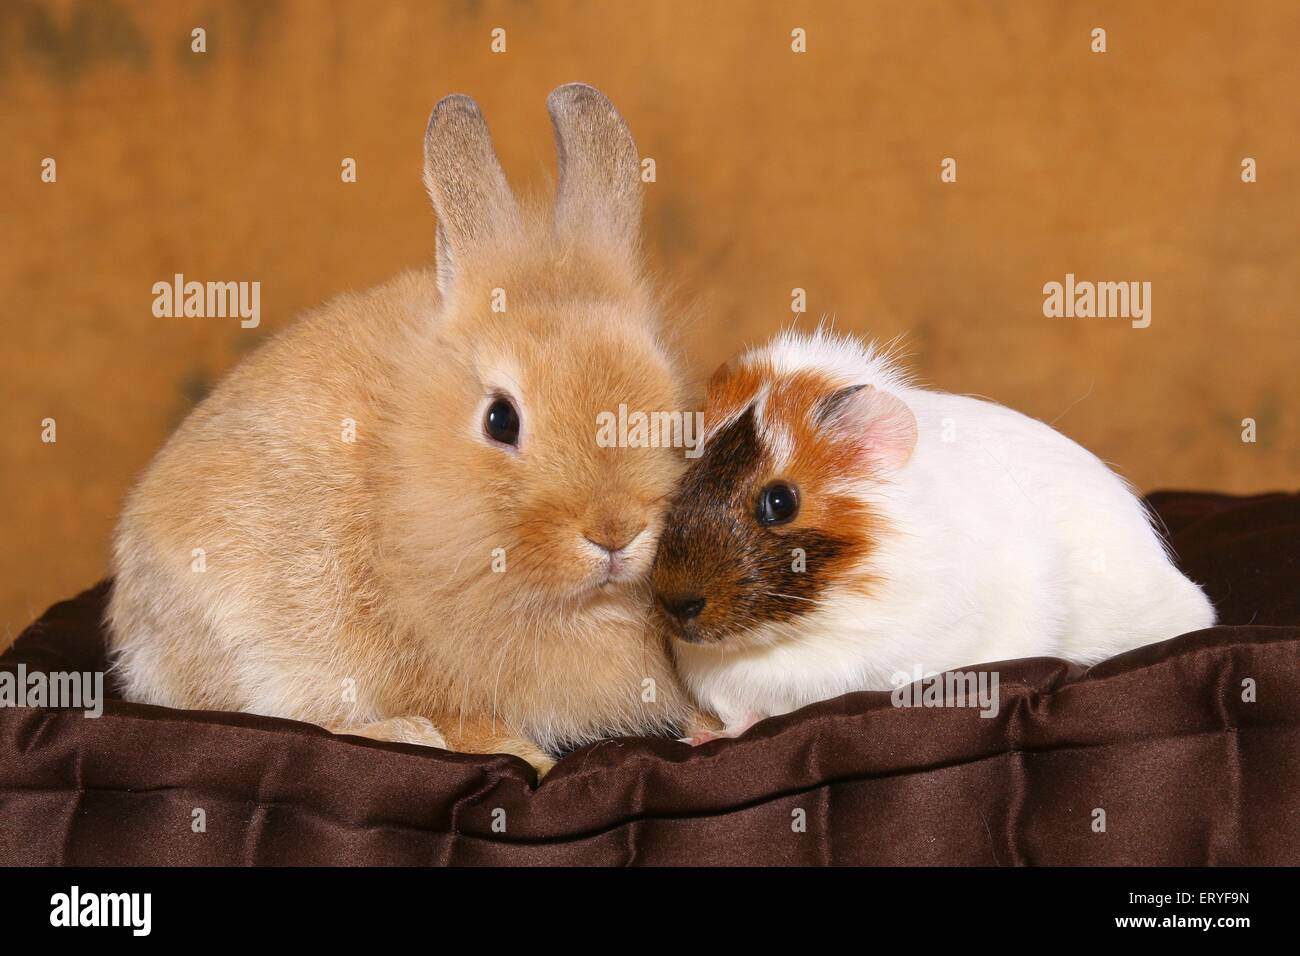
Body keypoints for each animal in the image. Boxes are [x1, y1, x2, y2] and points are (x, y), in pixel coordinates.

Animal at [107, 84, 695, 775]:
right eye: (501, 419)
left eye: (674, 413)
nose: (615, 531)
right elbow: (464, 722)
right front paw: (529, 759)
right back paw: (405, 734)